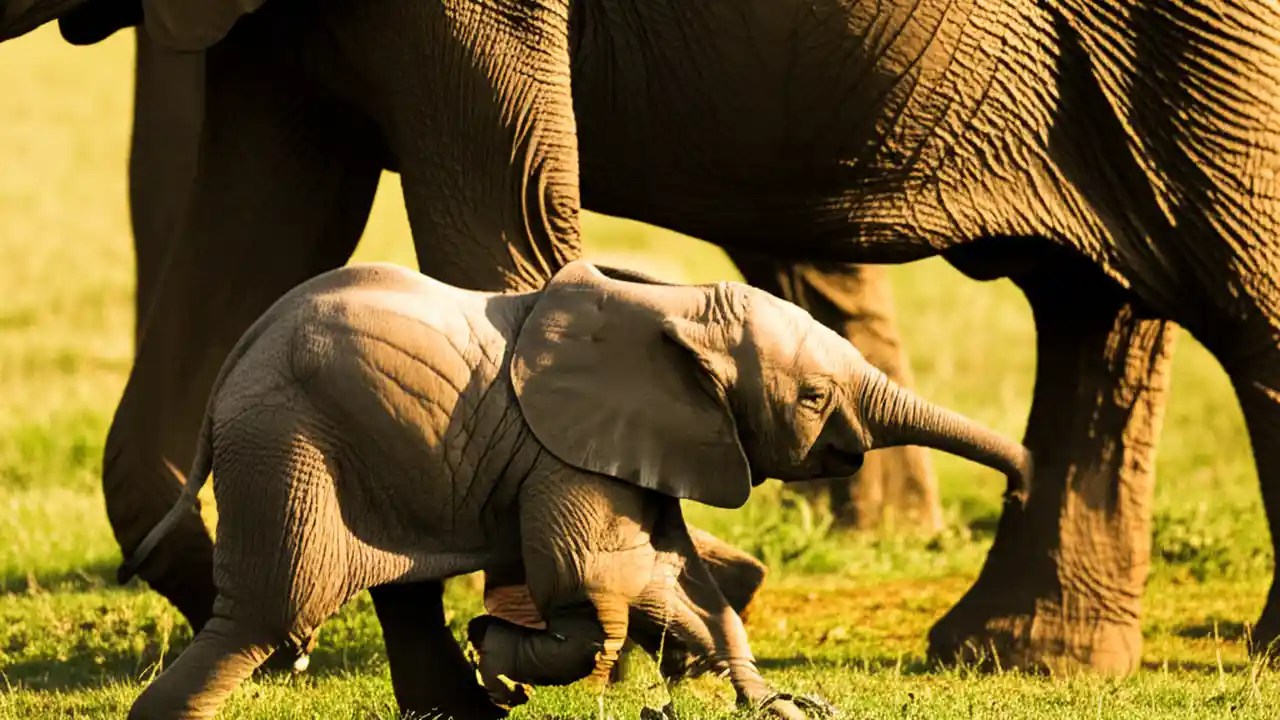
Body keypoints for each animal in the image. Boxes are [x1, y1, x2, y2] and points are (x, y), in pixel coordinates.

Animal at [118, 259, 1030, 719]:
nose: (1017, 491)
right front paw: (500, 656)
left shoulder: (653, 443)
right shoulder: (568, 458)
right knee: (269, 615)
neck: (675, 305)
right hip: (286, 444)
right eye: (810, 397)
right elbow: (596, 588)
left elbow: (680, 582)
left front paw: (782, 708)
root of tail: (235, 362)